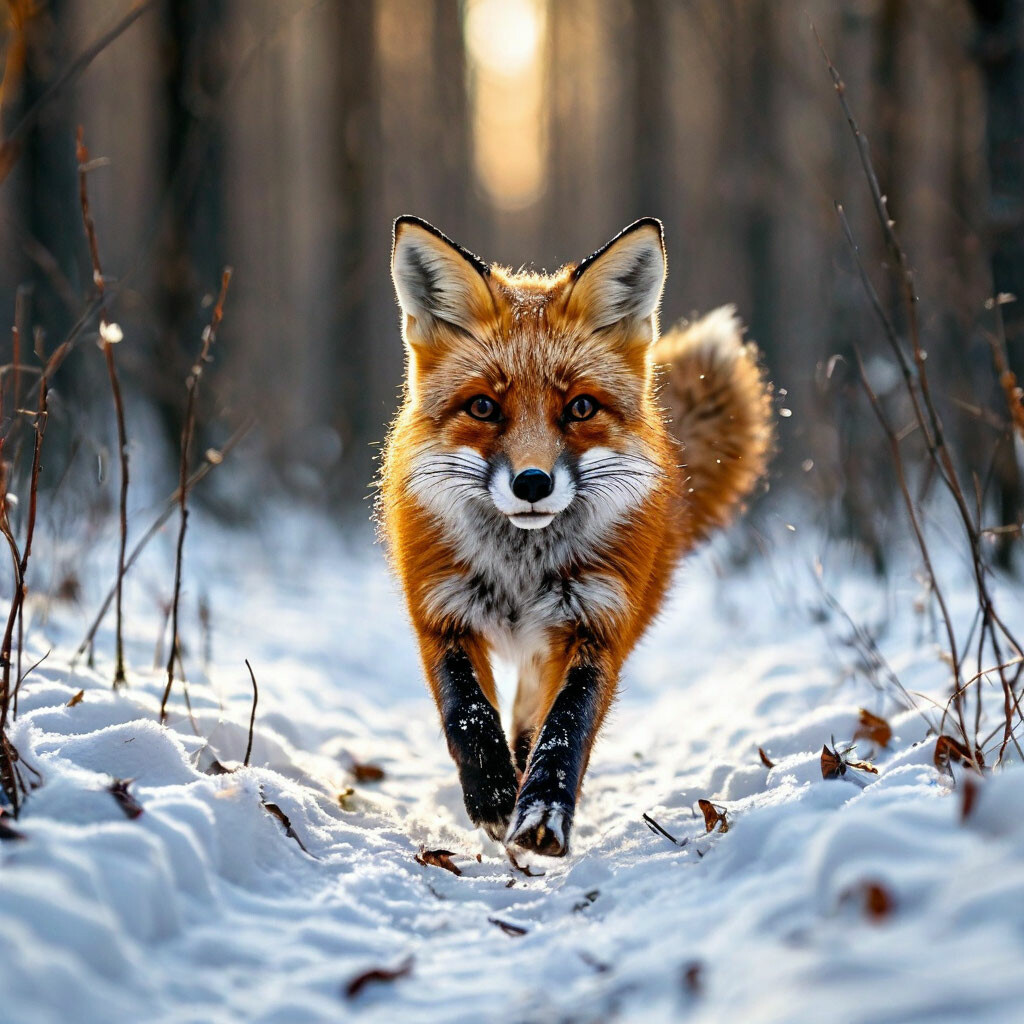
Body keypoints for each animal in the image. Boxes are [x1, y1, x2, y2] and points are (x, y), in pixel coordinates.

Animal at [378, 215, 774, 857]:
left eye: (581, 408)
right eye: (483, 407)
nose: (532, 483)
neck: (520, 568)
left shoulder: (599, 623)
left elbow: (567, 726)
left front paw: (541, 813)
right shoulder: (441, 610)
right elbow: (466, 712)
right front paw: (494, 793)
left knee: (533, 714)